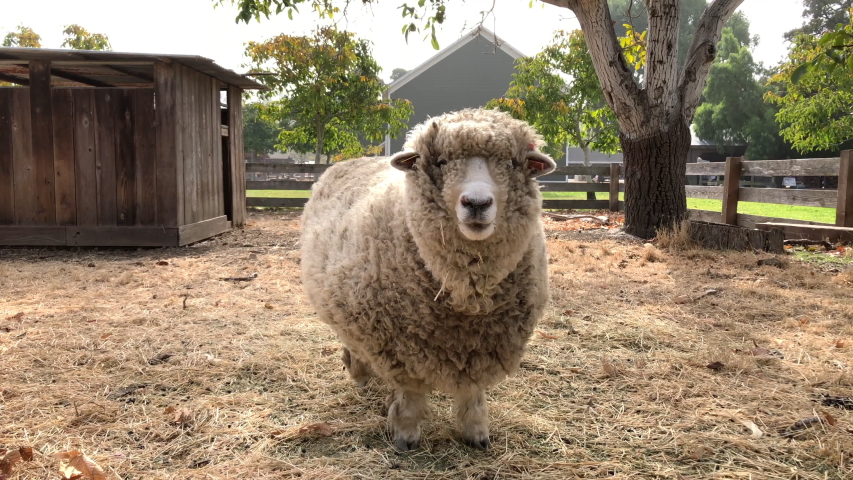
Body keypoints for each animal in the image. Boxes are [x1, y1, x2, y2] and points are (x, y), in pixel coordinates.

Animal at [300, 108, 556, 451]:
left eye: (514, 163)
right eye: (442, 161)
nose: (477, 204)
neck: (467, 292)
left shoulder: (485, 345)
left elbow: (472, 392)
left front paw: (476, 431)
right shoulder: (397, 344)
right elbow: (411, 392)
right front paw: (406, 434)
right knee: (351, 344)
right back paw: (360, 373)